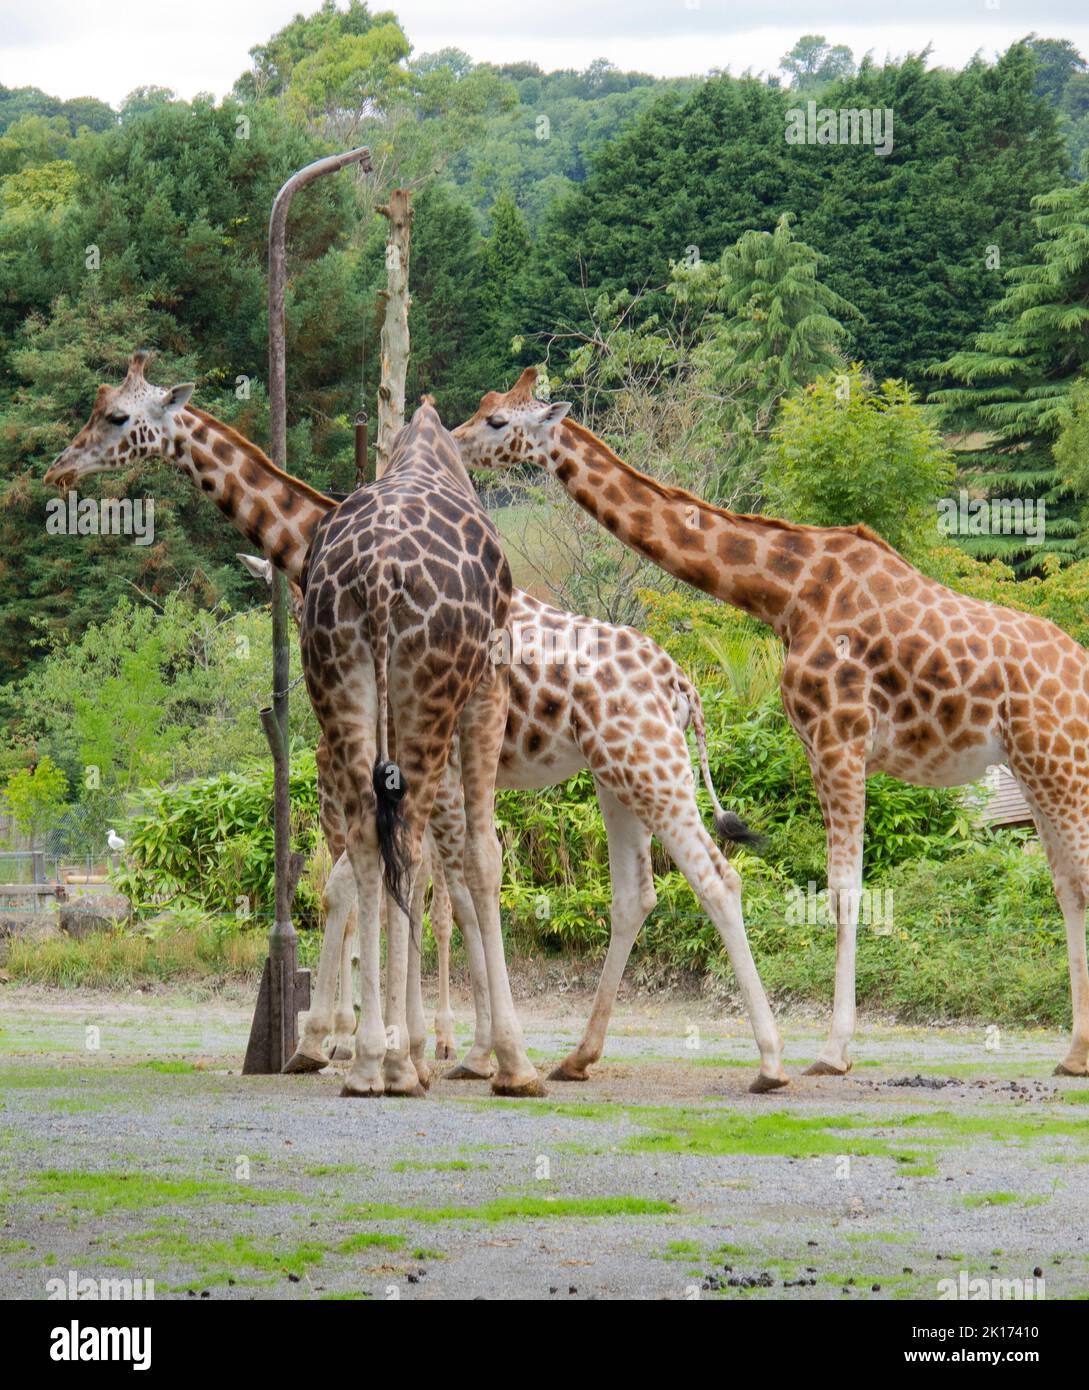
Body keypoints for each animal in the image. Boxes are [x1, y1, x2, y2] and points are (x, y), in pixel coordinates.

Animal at [240, 554, 787, 1092]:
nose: (318, 653)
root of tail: (680, 682)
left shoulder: (433, 780)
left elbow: (405, 894)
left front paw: (341, 1046)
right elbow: (403, 893)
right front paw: (412, 1050)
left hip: (648, 765)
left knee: (717, 879)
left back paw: (769, 1062)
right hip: (616, 774)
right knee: (635, 895)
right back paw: (576, 1057)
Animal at [454, 369, 1089, 1081]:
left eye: (498, 421)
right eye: (484, 407)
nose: (454, 440)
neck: (787, 593)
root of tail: (1084, 671)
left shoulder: (838, 736)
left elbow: (844, 889)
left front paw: (832, 1053)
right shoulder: (825, 743)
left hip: (1061, 763)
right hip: (1035, 769)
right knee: (1068, 882)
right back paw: (1073, 1054)